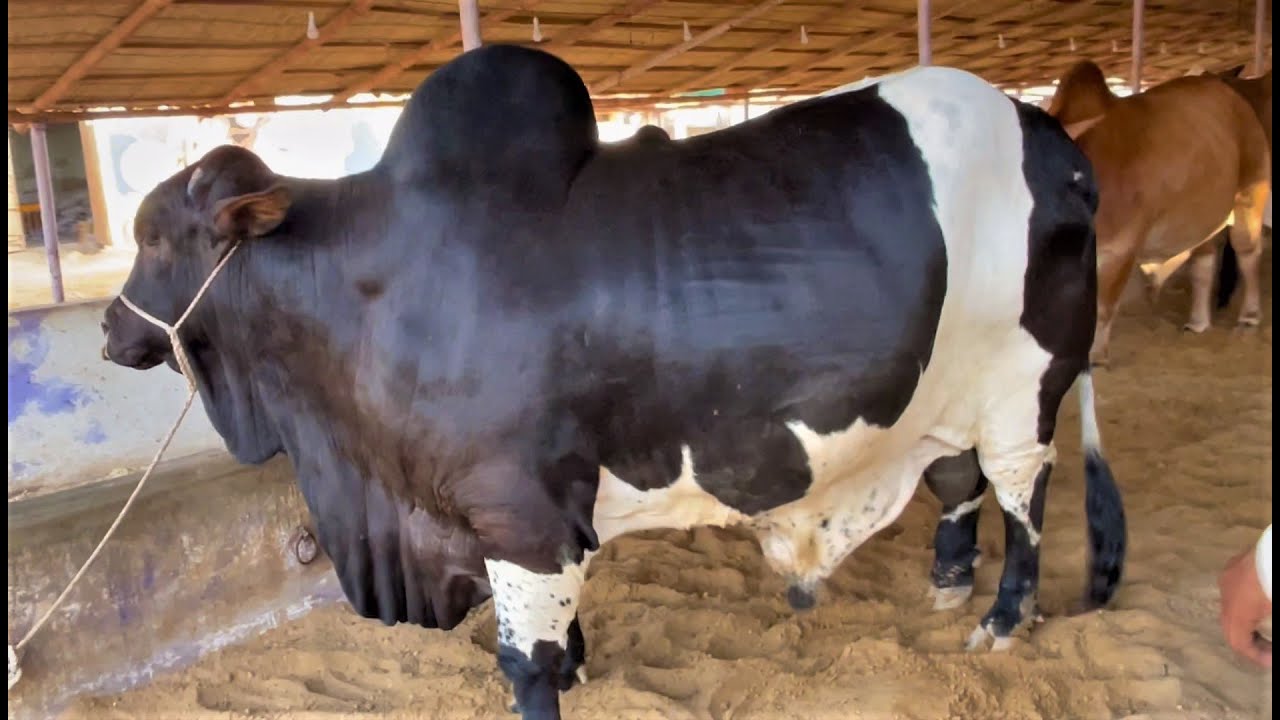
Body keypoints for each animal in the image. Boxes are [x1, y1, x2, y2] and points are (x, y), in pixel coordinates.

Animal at [101, 45, 1126, 719]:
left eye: (154, 236)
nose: (110, 327)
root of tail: (1062, 146)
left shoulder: (518, 512)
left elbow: (525, 663)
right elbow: (561, 641)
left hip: (1027, 393)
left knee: (1025, 504)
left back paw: (1001, 619)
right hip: (940, 401)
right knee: (961, 483)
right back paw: (948, 587)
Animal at [1045, 60, 1271, 366]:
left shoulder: (1120, 249)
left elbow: (1103, 307)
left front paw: (1096, 357)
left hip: (1248, 197)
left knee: (1248, 254)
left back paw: (1249, 316)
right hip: (1203, 218)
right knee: (1203, 262)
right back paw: (1198, 322)